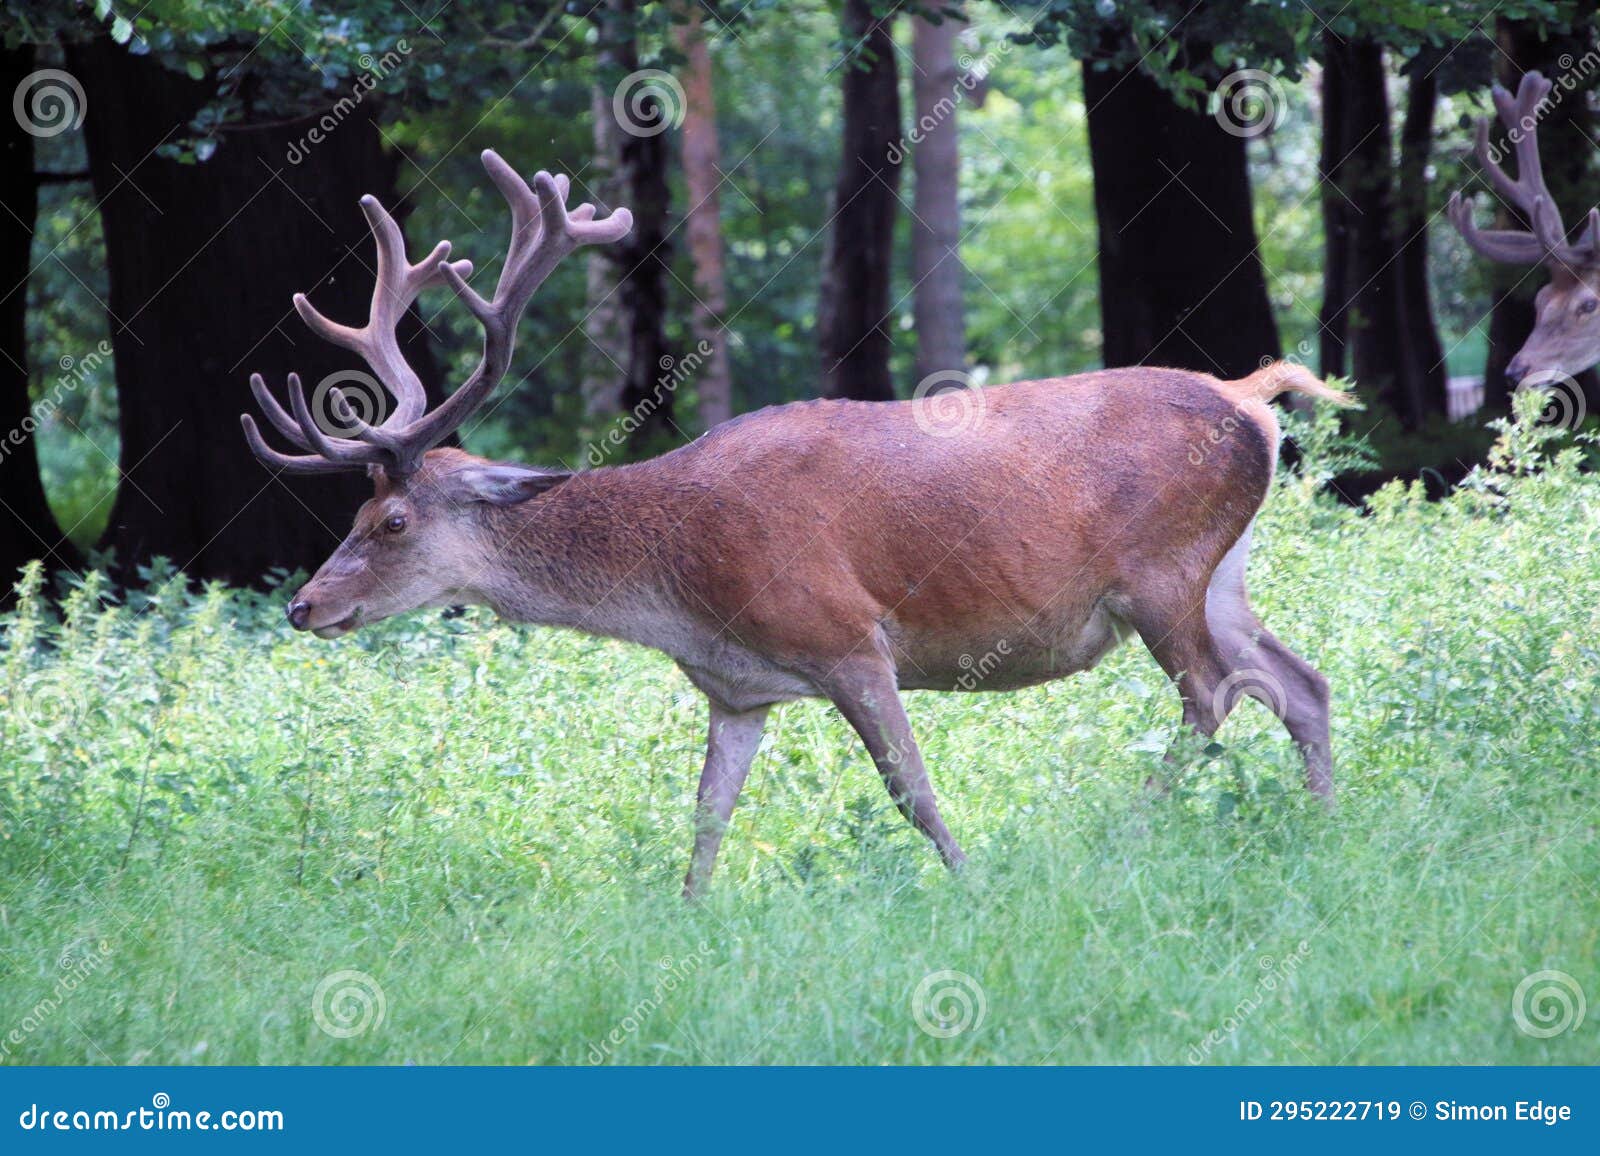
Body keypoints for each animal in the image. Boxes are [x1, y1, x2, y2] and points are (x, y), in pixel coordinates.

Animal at [244, 149, 1352, 898]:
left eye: (390, 519)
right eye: (356, 511)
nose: (303, 606)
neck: (678, 591)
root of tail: (1250, 398)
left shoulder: (848, 636)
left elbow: (911, 789)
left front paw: (970, 882)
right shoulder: (737, 691)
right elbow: (706, 812)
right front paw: (686, 915)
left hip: (1161, 568)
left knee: (1213, 694)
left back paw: (1128, 836)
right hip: (1222, 571)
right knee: (1297, 681)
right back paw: (1325, 826)